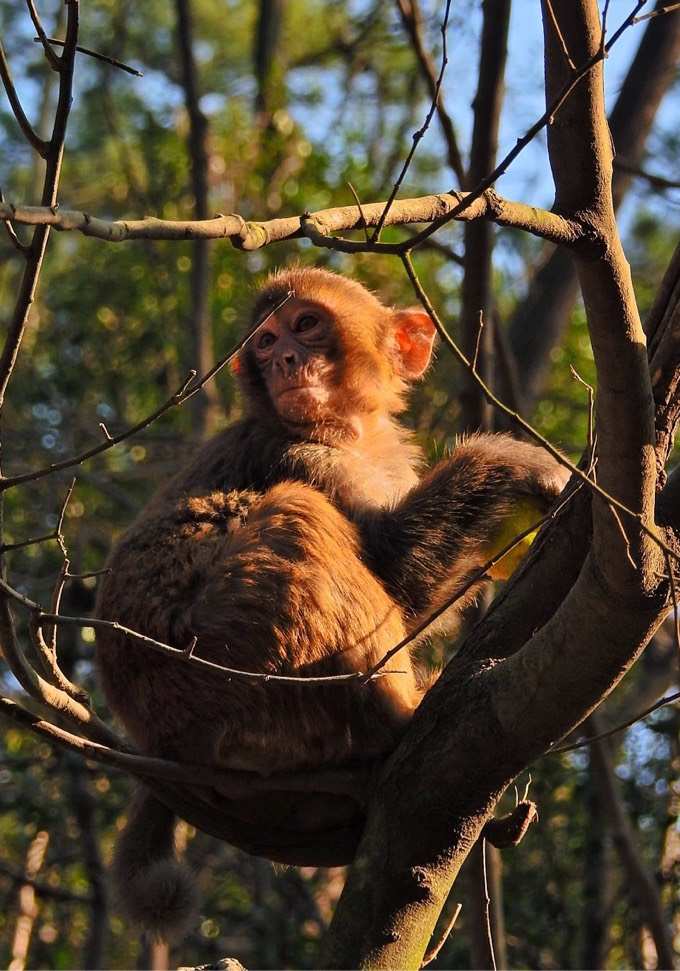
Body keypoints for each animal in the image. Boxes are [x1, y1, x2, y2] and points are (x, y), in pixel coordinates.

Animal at [93, 268, 564, 940]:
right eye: (266, 342)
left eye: (307, 324)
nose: (285, 360)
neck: (351, 434)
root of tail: (158, 739)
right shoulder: (299, 454)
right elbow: (393, 561)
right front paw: (515, 461)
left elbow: (409, 592)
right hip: (222, 665)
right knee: (300, 515)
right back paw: (399, 722)